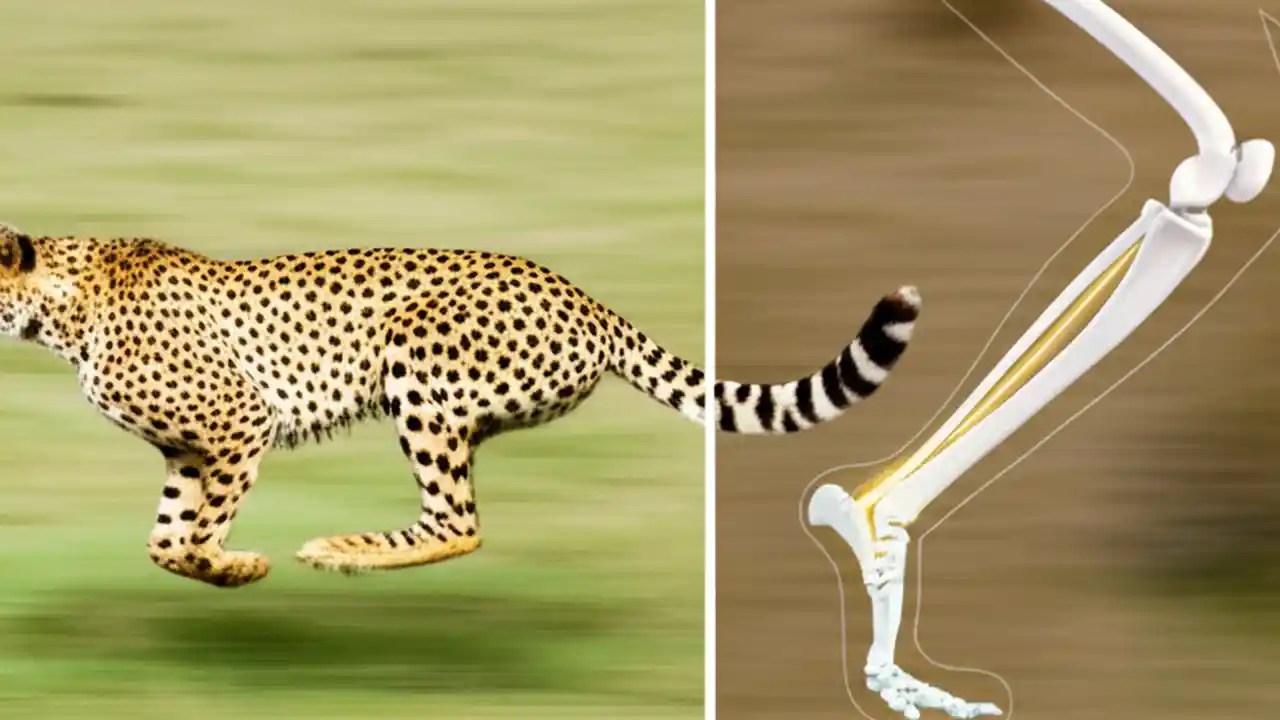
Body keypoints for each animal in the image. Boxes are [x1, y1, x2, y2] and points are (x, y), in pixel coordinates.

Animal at [0, 223, 920, 587]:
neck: (63, 300)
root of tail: (579, 292)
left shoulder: (239, 422)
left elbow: (191, 535)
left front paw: (236, 565)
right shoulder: (190, 450)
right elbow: (165, 542)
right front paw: (224, 568)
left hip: (415, 362)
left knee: (459, 522)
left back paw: (341, 549)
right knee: (453, 518)